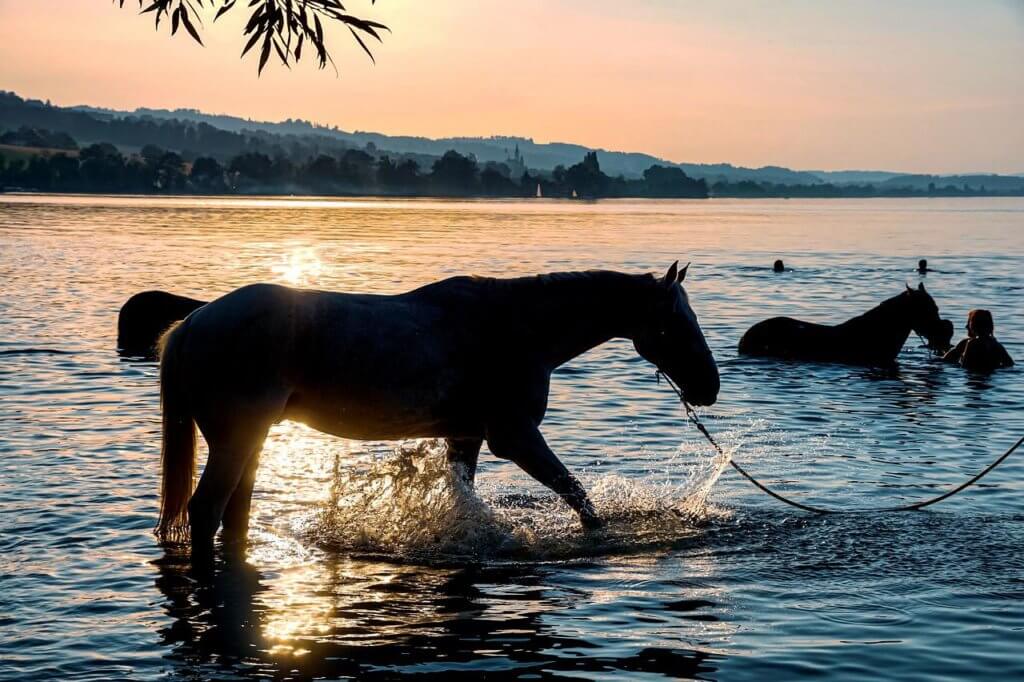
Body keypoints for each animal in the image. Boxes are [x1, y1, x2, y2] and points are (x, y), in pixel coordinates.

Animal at [156, 263, 720, 552]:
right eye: (676, 323)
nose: (709, 388)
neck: (516, 328)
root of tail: (193, 322)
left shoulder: (466, 436)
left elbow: (464, 497)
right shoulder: (515, 437)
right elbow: (578, 498)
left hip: (249, 441)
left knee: (232, 514)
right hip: (236, 439)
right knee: (205, 511)